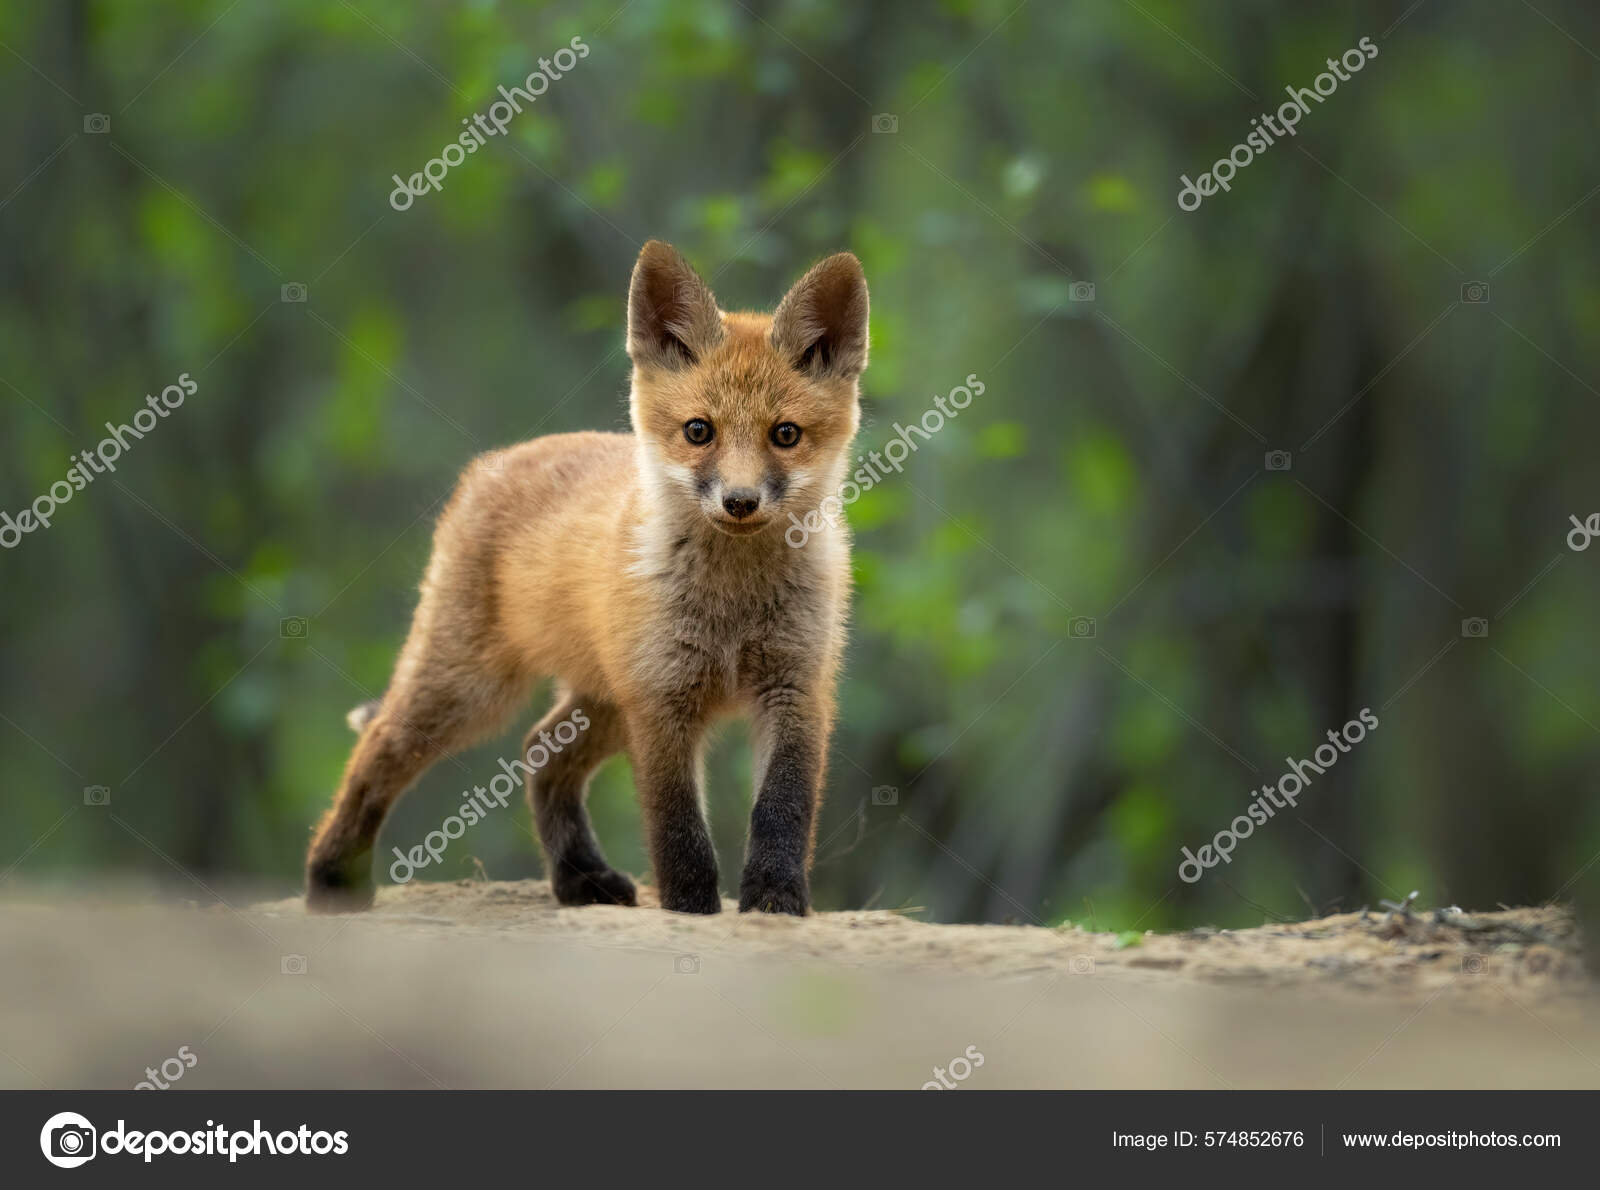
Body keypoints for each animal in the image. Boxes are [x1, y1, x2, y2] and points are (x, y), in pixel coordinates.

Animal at [305, 240, 868, 916]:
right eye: (698, 431)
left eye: (785, 435)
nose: (739, 502)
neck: (733, 602)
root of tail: (491, 462)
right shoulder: (661, 699)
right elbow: (678, 826)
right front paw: (691, 906)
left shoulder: (796, 689)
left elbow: (783, 809)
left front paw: (776, 899)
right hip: (474, 690)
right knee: (380, 748)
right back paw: (330, 877)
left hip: (599, 702)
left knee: (538, 754)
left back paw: (579, 878)